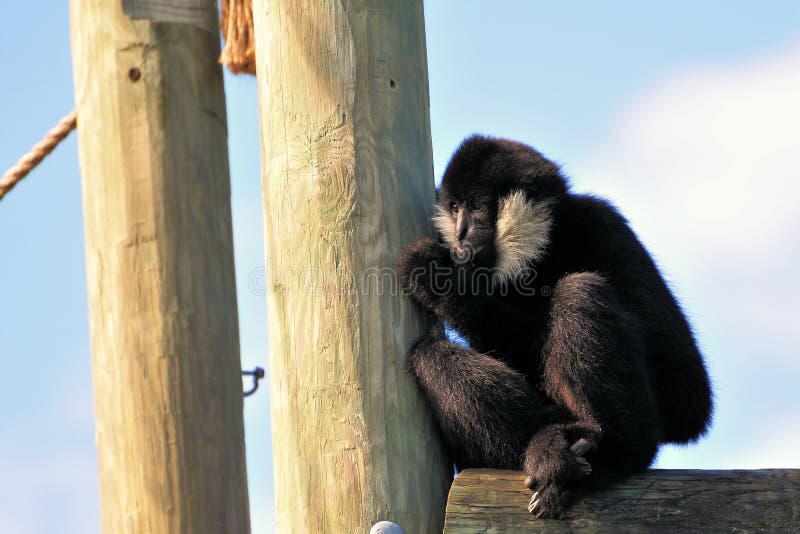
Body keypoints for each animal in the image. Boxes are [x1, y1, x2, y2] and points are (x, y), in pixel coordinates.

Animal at [397, 135, 712, 518]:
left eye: (476, 206)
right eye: (455, 208)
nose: (460, 232)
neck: (539, 253)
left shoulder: (602, 222)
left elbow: (686, 397)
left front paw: (440, 281)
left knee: (579, 292)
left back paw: (612, 453)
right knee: (428, 355)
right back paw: (556, 445)